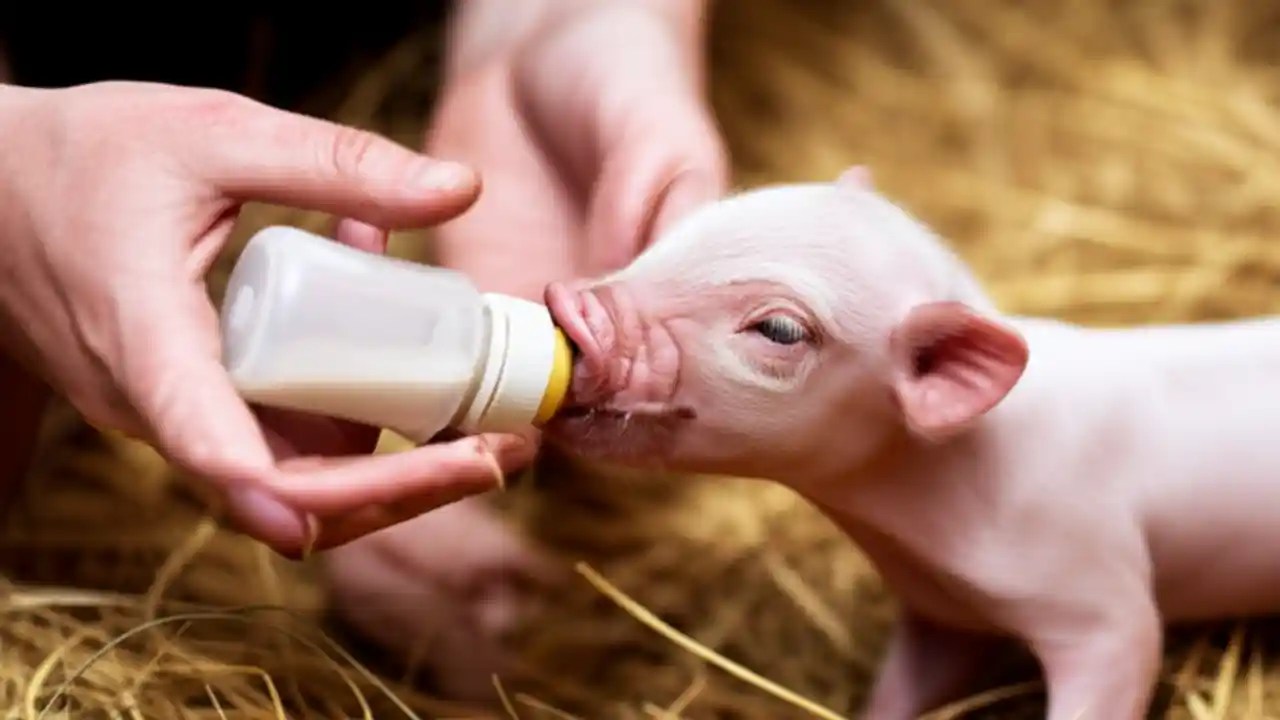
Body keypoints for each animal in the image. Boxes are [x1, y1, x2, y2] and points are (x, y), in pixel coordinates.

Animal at [537, 165, 1280, 719]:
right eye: (674, 236)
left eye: (780, 330)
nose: (571, 307)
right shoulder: (941, 616)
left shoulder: (1104, 598)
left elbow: (1131, 643)